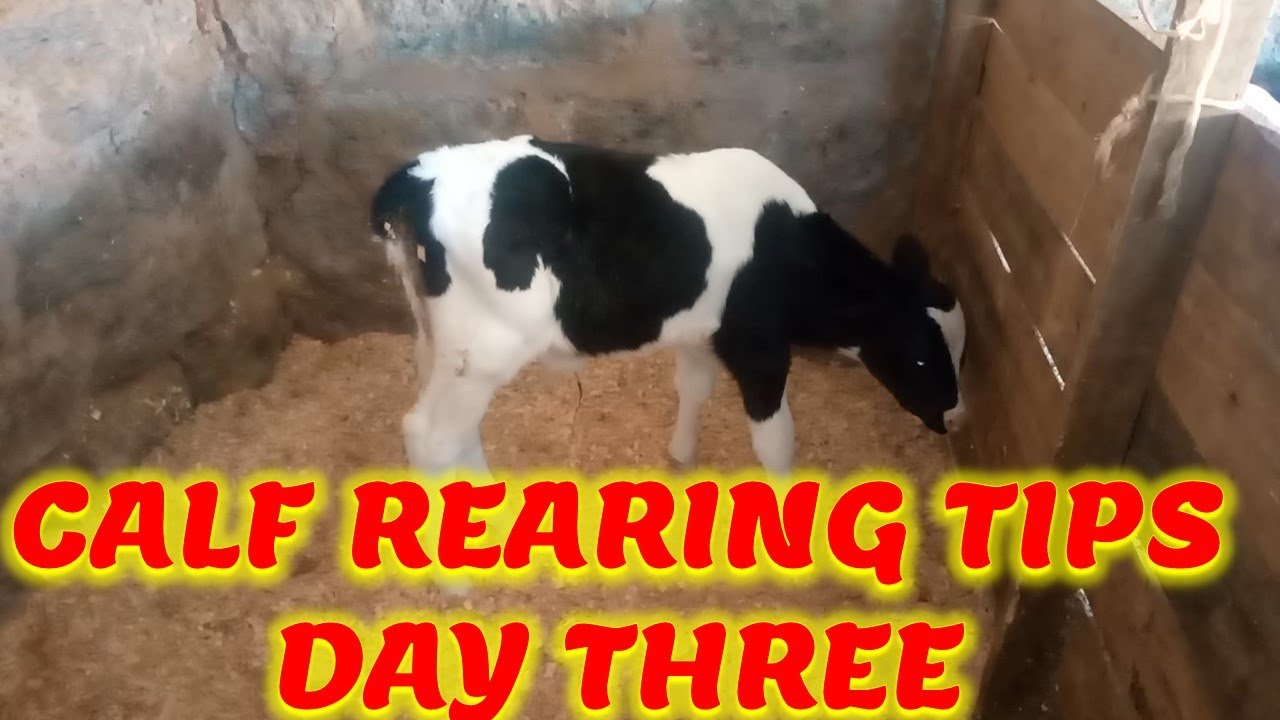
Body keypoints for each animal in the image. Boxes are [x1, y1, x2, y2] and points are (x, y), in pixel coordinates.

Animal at [370, 135, 966, 477]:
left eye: (963, 351)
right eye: (919, 357)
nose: (957, 416)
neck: (790, 249)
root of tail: (419, 176)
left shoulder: (702, 332)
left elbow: (693, 388)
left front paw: (681, 455)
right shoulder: (760, 348)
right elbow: (776, 441)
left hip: (441, 342)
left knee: (457, 430)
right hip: (485, 349)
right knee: (429, 435)